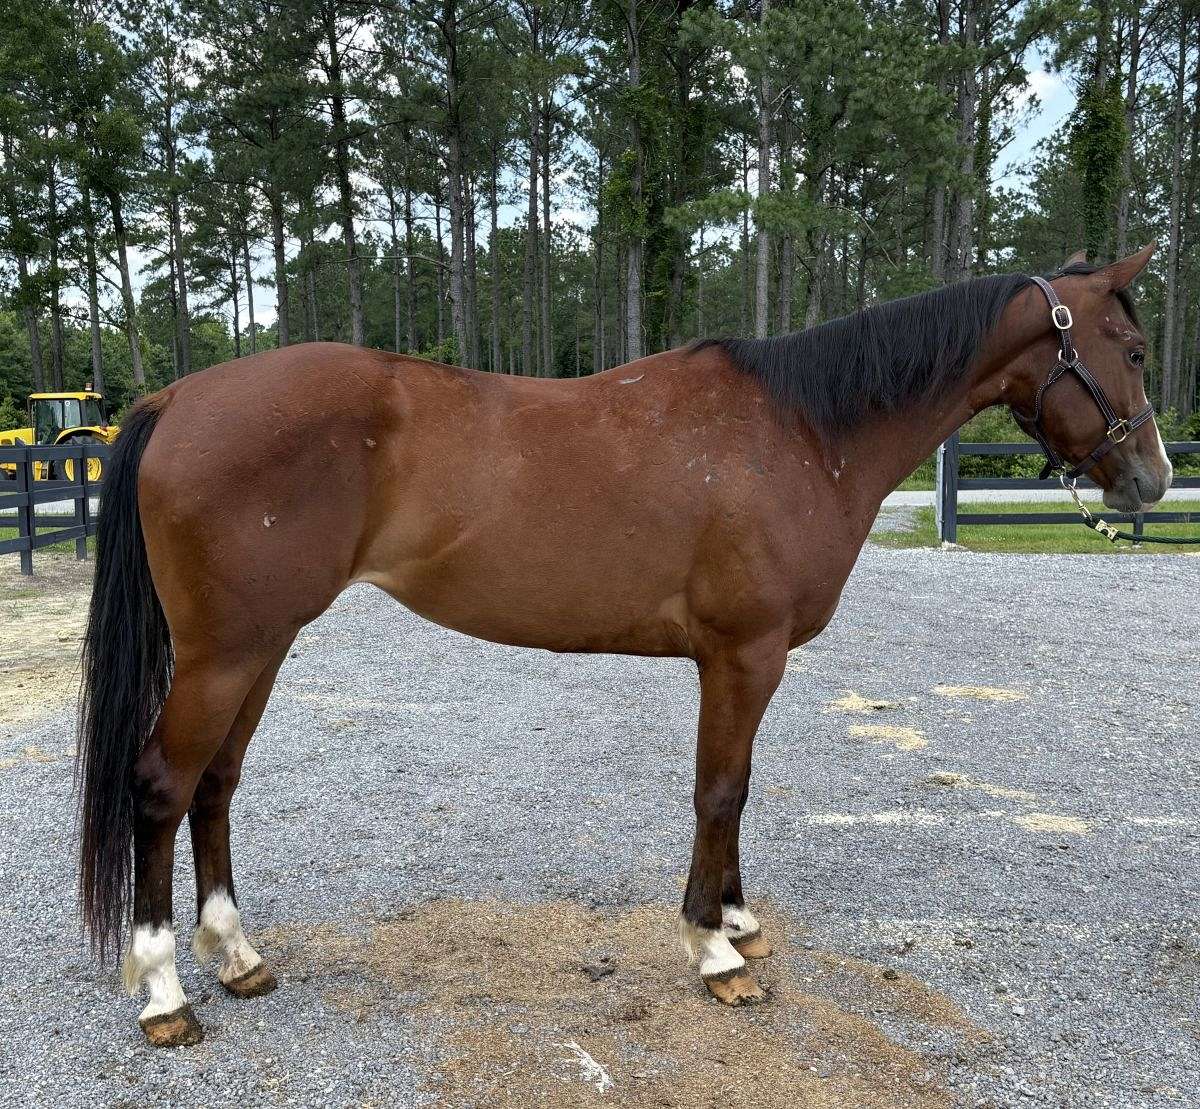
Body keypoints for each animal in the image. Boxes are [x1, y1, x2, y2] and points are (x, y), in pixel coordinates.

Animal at [76, 245, 1170, 1047]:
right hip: (223, 652)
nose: (1154, 478)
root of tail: (176, 399)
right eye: (1129, 343)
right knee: (162, 786)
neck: (803, 432)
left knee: (217, 784)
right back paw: (166, 994)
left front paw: (737, 922)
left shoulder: (748, 661)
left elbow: (739, 787)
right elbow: (719, 789)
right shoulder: (744, 653)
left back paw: (237, 955)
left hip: (261, 646)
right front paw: (715, 952)